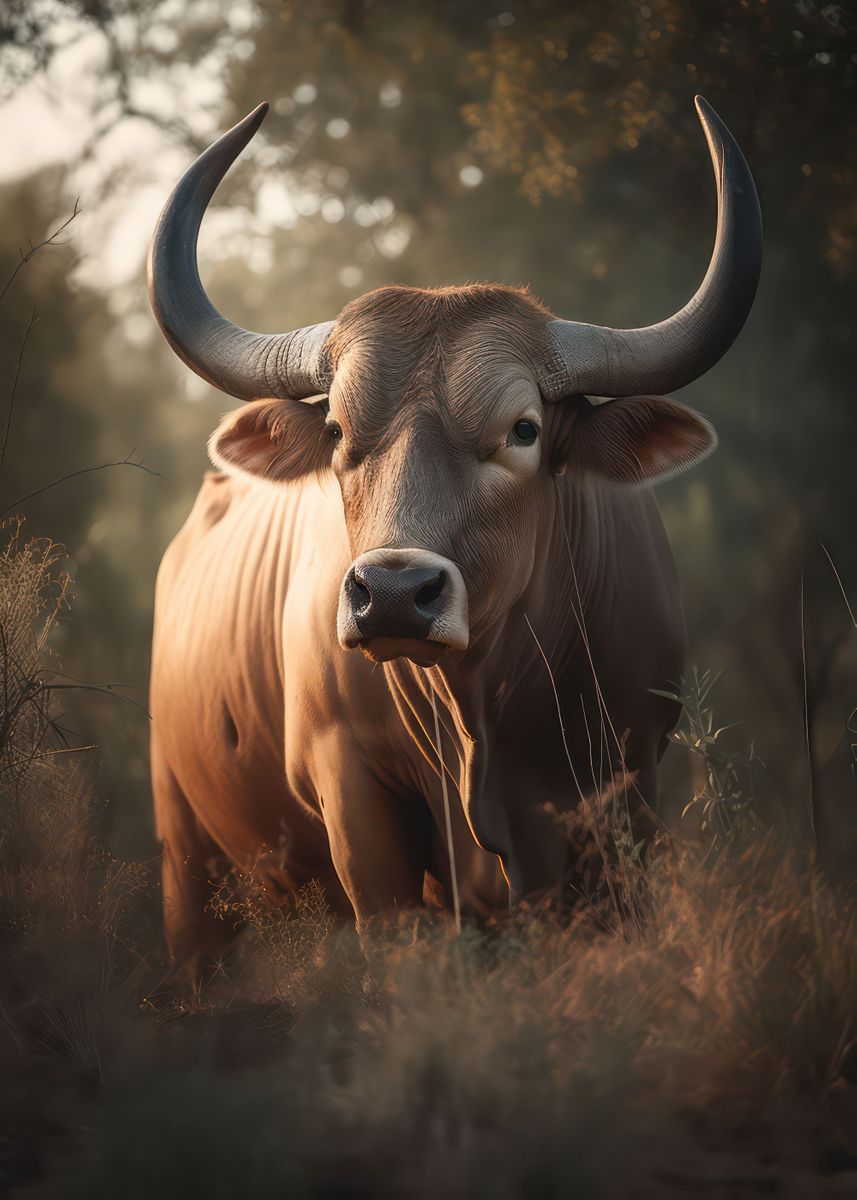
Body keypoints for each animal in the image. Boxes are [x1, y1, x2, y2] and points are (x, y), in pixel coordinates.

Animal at [147, 97, 761, 972]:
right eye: (335, 430)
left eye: (524, 429)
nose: (393, 595)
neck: (481, 721)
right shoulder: (357, 800)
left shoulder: (628, 789)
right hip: (186, 860)